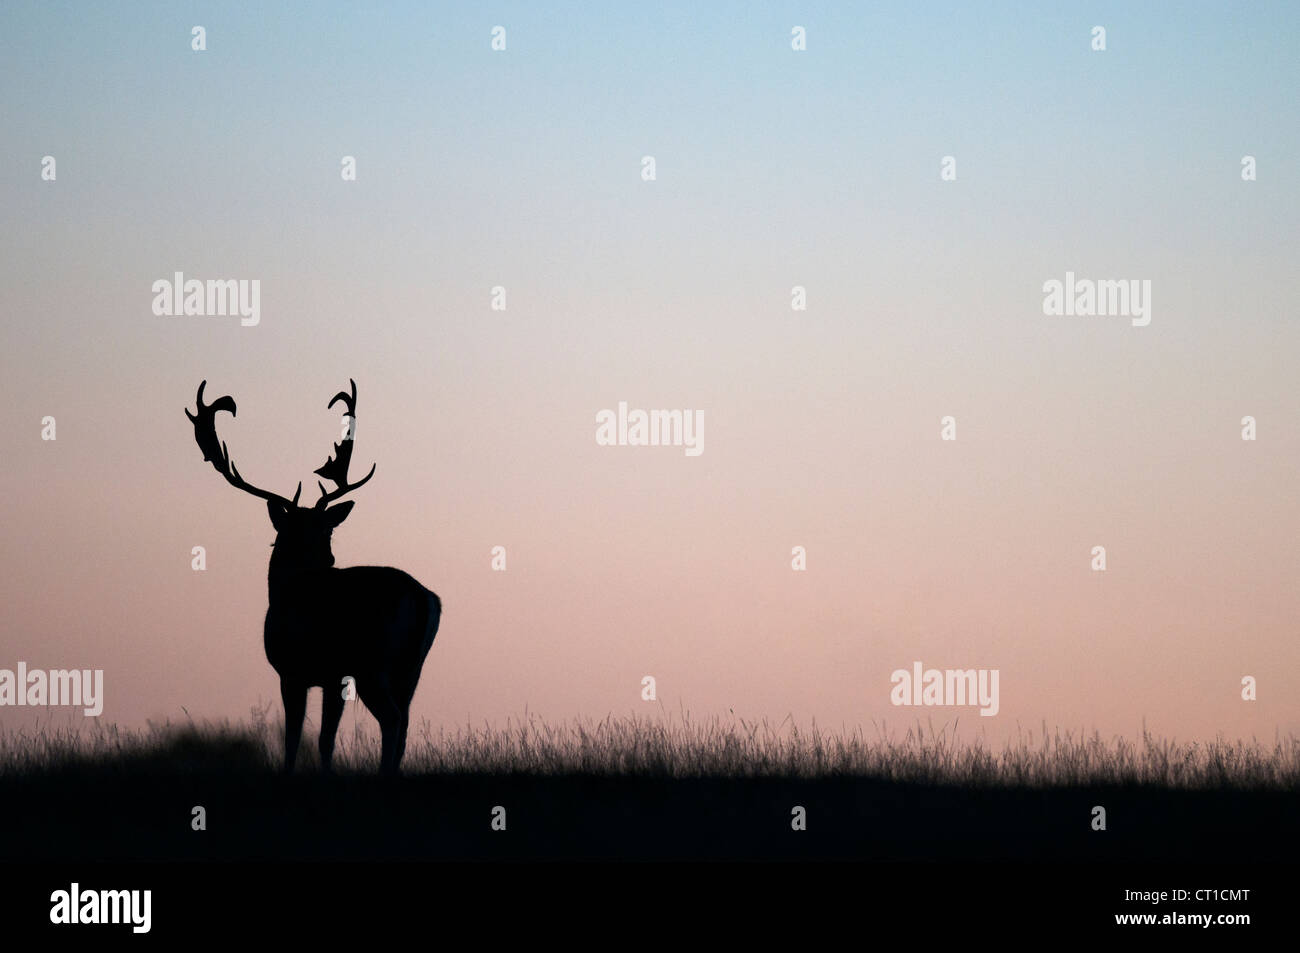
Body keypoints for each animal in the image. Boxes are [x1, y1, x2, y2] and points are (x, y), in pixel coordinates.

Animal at [185, 379, 441, 775]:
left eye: (326, 529)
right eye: (304, 529)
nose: (328, 558)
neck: (282, 593)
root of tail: (424, 599)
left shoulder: (295, 670)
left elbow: (297, 738)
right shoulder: (327, 677)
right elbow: (323, 740)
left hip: (371, 663)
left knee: (393, 719)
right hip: (410, 669)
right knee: (404, 724)